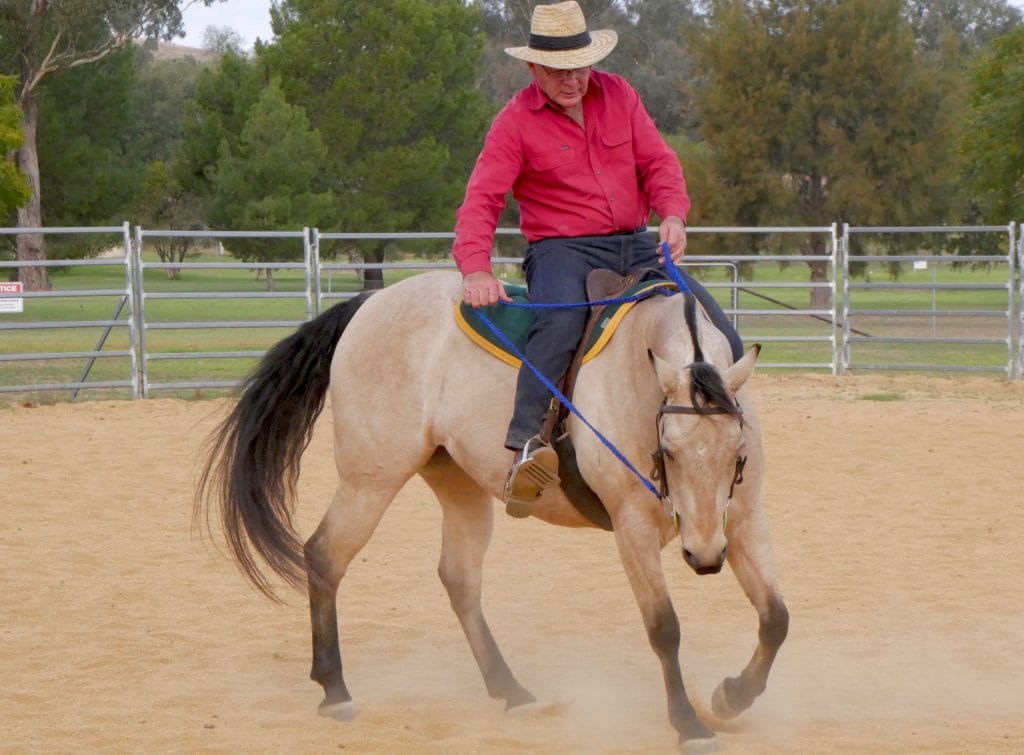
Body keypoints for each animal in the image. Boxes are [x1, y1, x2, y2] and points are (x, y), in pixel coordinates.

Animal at [196, 269, 788, 750]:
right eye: (668, 451)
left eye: (737, 452)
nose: (705, 556)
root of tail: (373, 301)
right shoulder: (633, 527)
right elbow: (665, 628)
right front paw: (689, 724)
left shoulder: (744, 520)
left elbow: (775, 618)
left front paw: (734, 695)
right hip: (370, 480)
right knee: (323, 555)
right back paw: (335, 688)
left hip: (458, 485)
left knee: (458, 579)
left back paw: (511, 690)